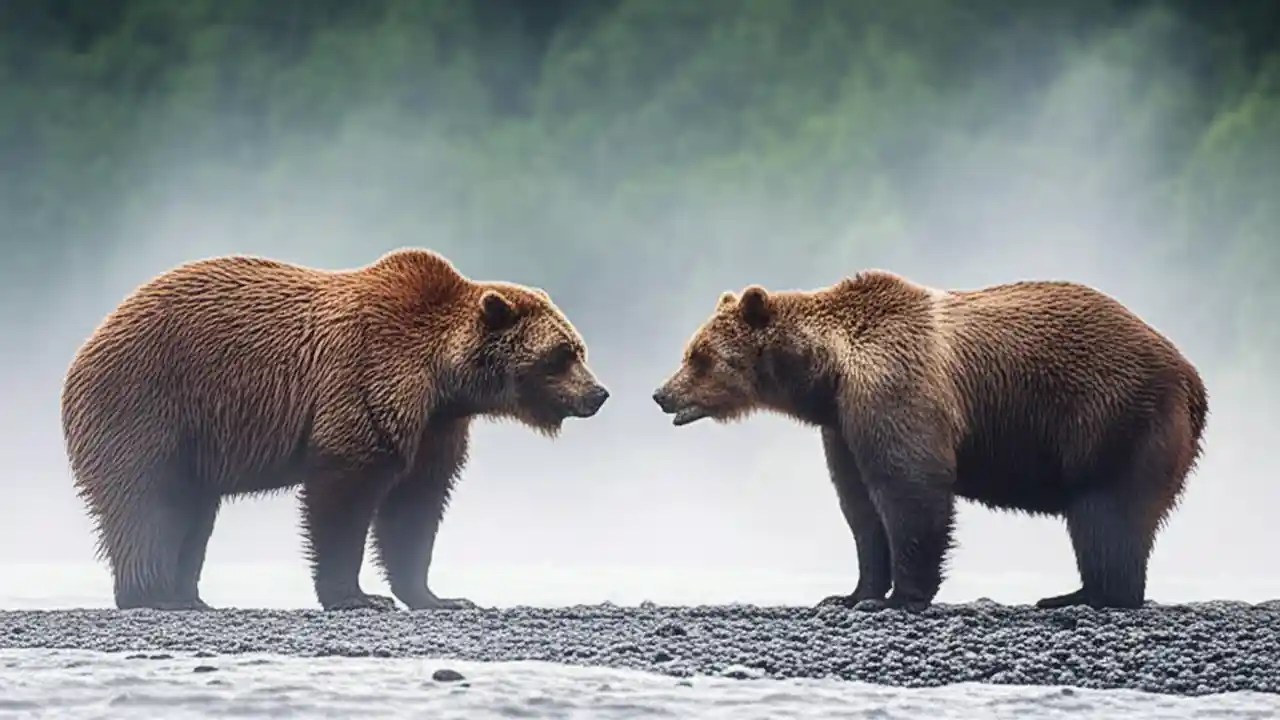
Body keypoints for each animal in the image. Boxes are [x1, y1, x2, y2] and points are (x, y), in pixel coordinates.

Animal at [61, 248, 609, 612]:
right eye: (561, 355)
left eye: (579, 348)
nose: (598, 394)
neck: (440, 378)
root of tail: (87, 345)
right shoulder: (366, 384)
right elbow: (344, 496)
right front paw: (356, 596)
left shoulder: (435, 428)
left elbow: (415, 507)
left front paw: (438, 595)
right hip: (147, 407)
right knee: (147, 502)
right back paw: (152, 593)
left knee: (191, 510)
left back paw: (187, 594)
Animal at [653, 270, 1207, 611]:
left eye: (700, 357)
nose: (661, 394)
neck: (826, 374)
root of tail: (1191, 376)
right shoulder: (843, 424)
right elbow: (859, 508)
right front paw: (852, 592)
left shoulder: (894, 388)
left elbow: (910, 488)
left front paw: (902, 595)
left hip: (1114, 418)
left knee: (1107, 513)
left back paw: (1090, 594)